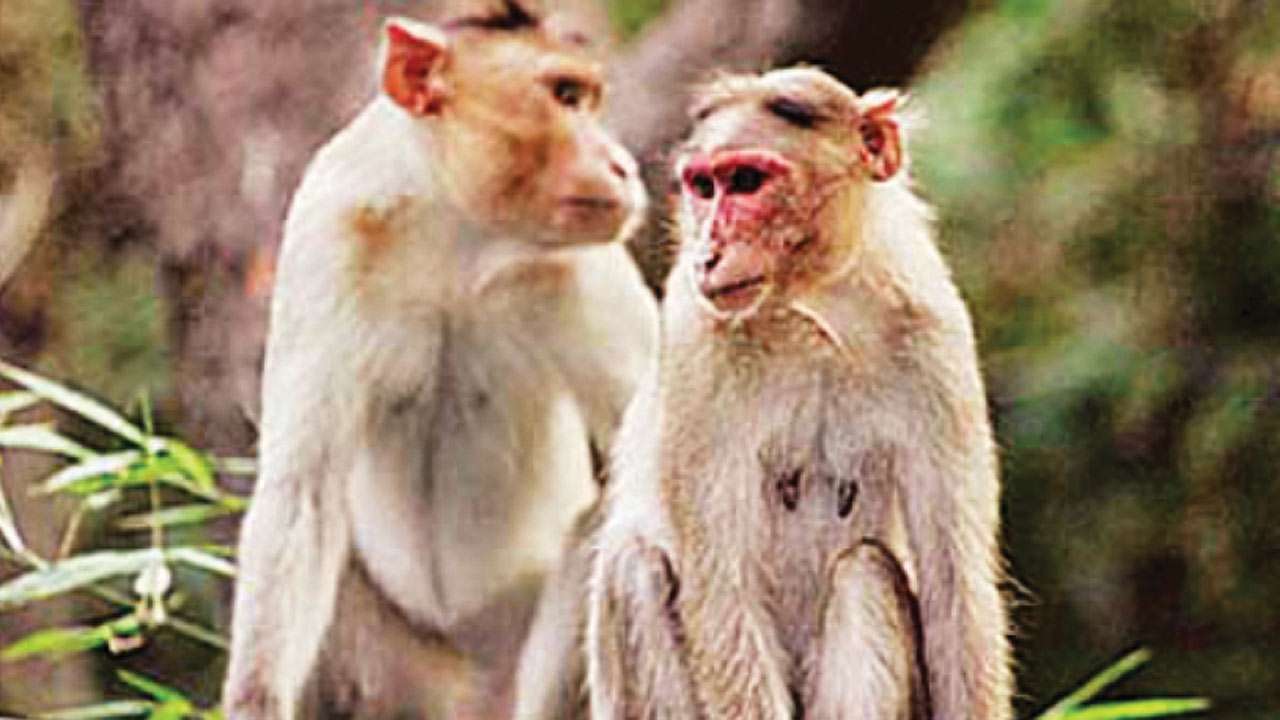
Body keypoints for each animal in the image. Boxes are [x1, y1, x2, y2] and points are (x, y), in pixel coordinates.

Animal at [222, 3, 657, 717]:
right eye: (564, 96)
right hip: (409, 679)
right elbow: (302, 492)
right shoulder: (326, 235)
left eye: (587, 98)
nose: (622, 164)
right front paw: (254, 701)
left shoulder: (582, 267)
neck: (458, 232)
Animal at [586, 67, 1012, 720]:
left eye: (746, 181)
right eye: (703, 186)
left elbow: (954, 590)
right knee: (633, 569)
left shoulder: (936, 338)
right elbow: (723, 593)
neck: (816, 322)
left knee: (865, 571)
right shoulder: (693, 340)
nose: (708, 253)